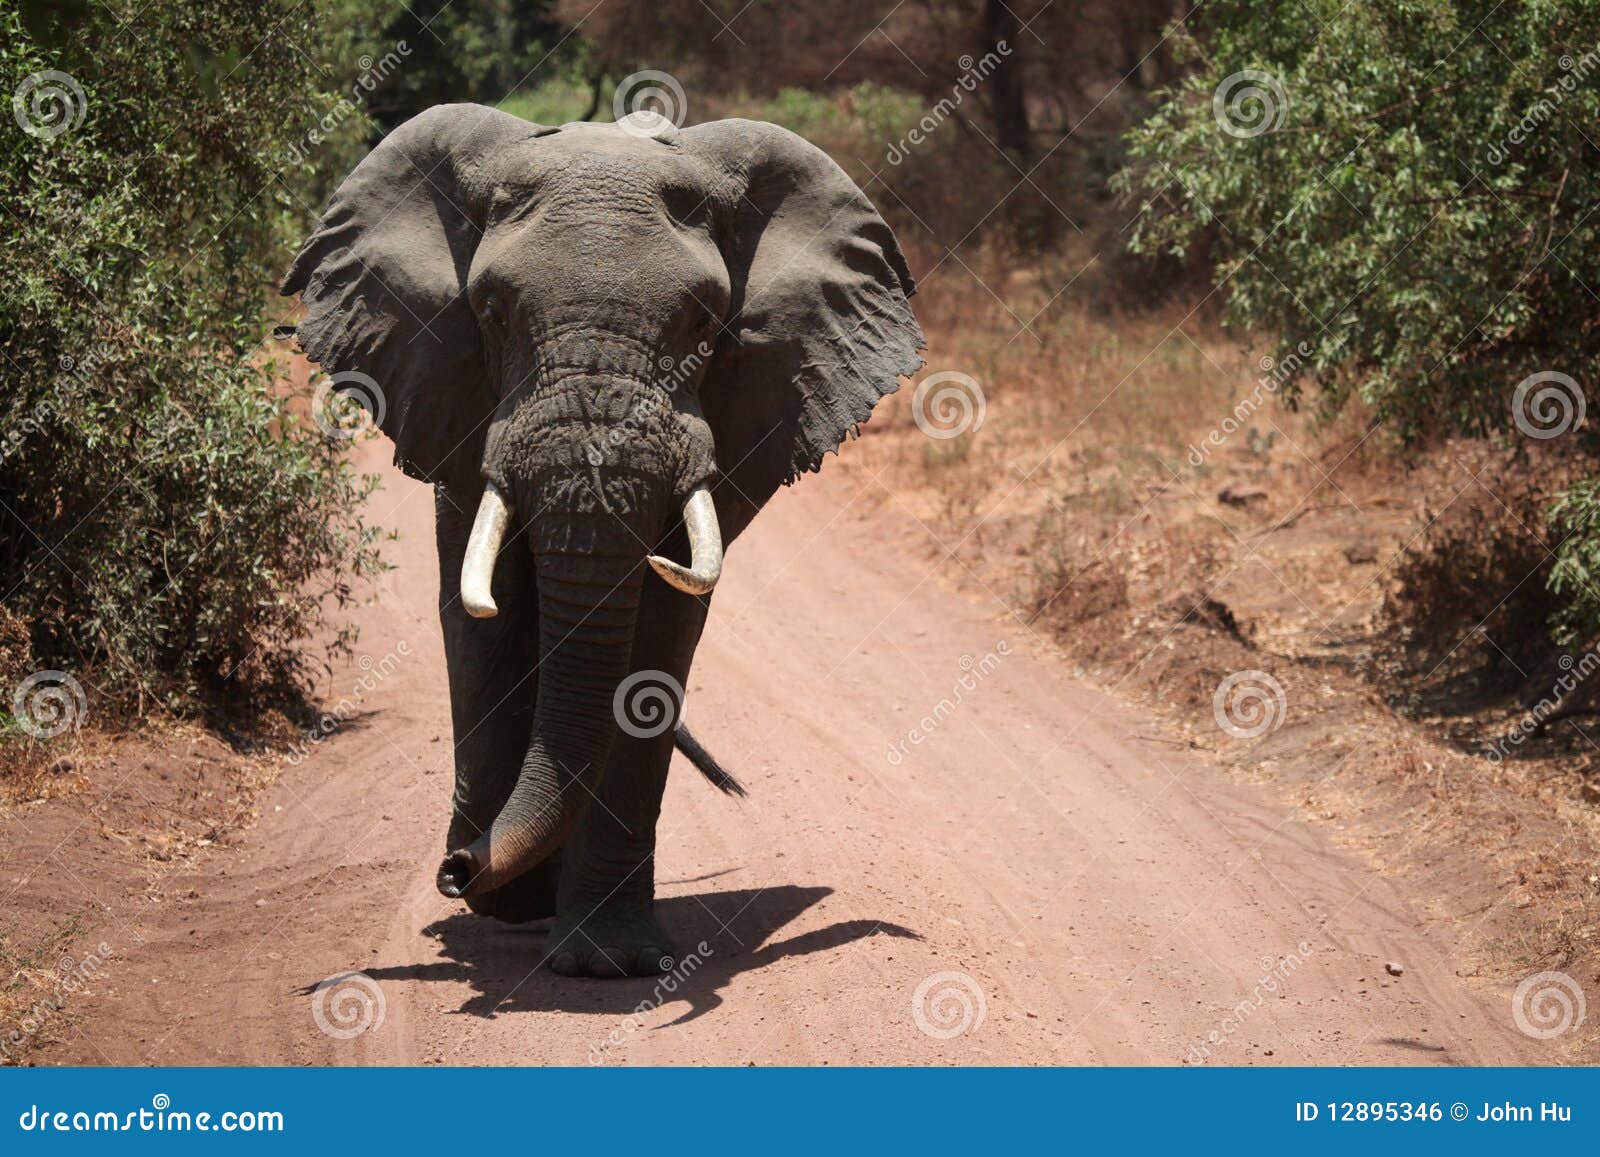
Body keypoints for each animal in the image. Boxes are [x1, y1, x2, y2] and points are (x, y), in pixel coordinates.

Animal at [280, 103, 924, 977]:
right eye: (492, 312)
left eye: (703, 321)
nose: (455, 870)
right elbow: (491, 612)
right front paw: (509, 897)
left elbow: (654, 636)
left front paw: (605, 962)